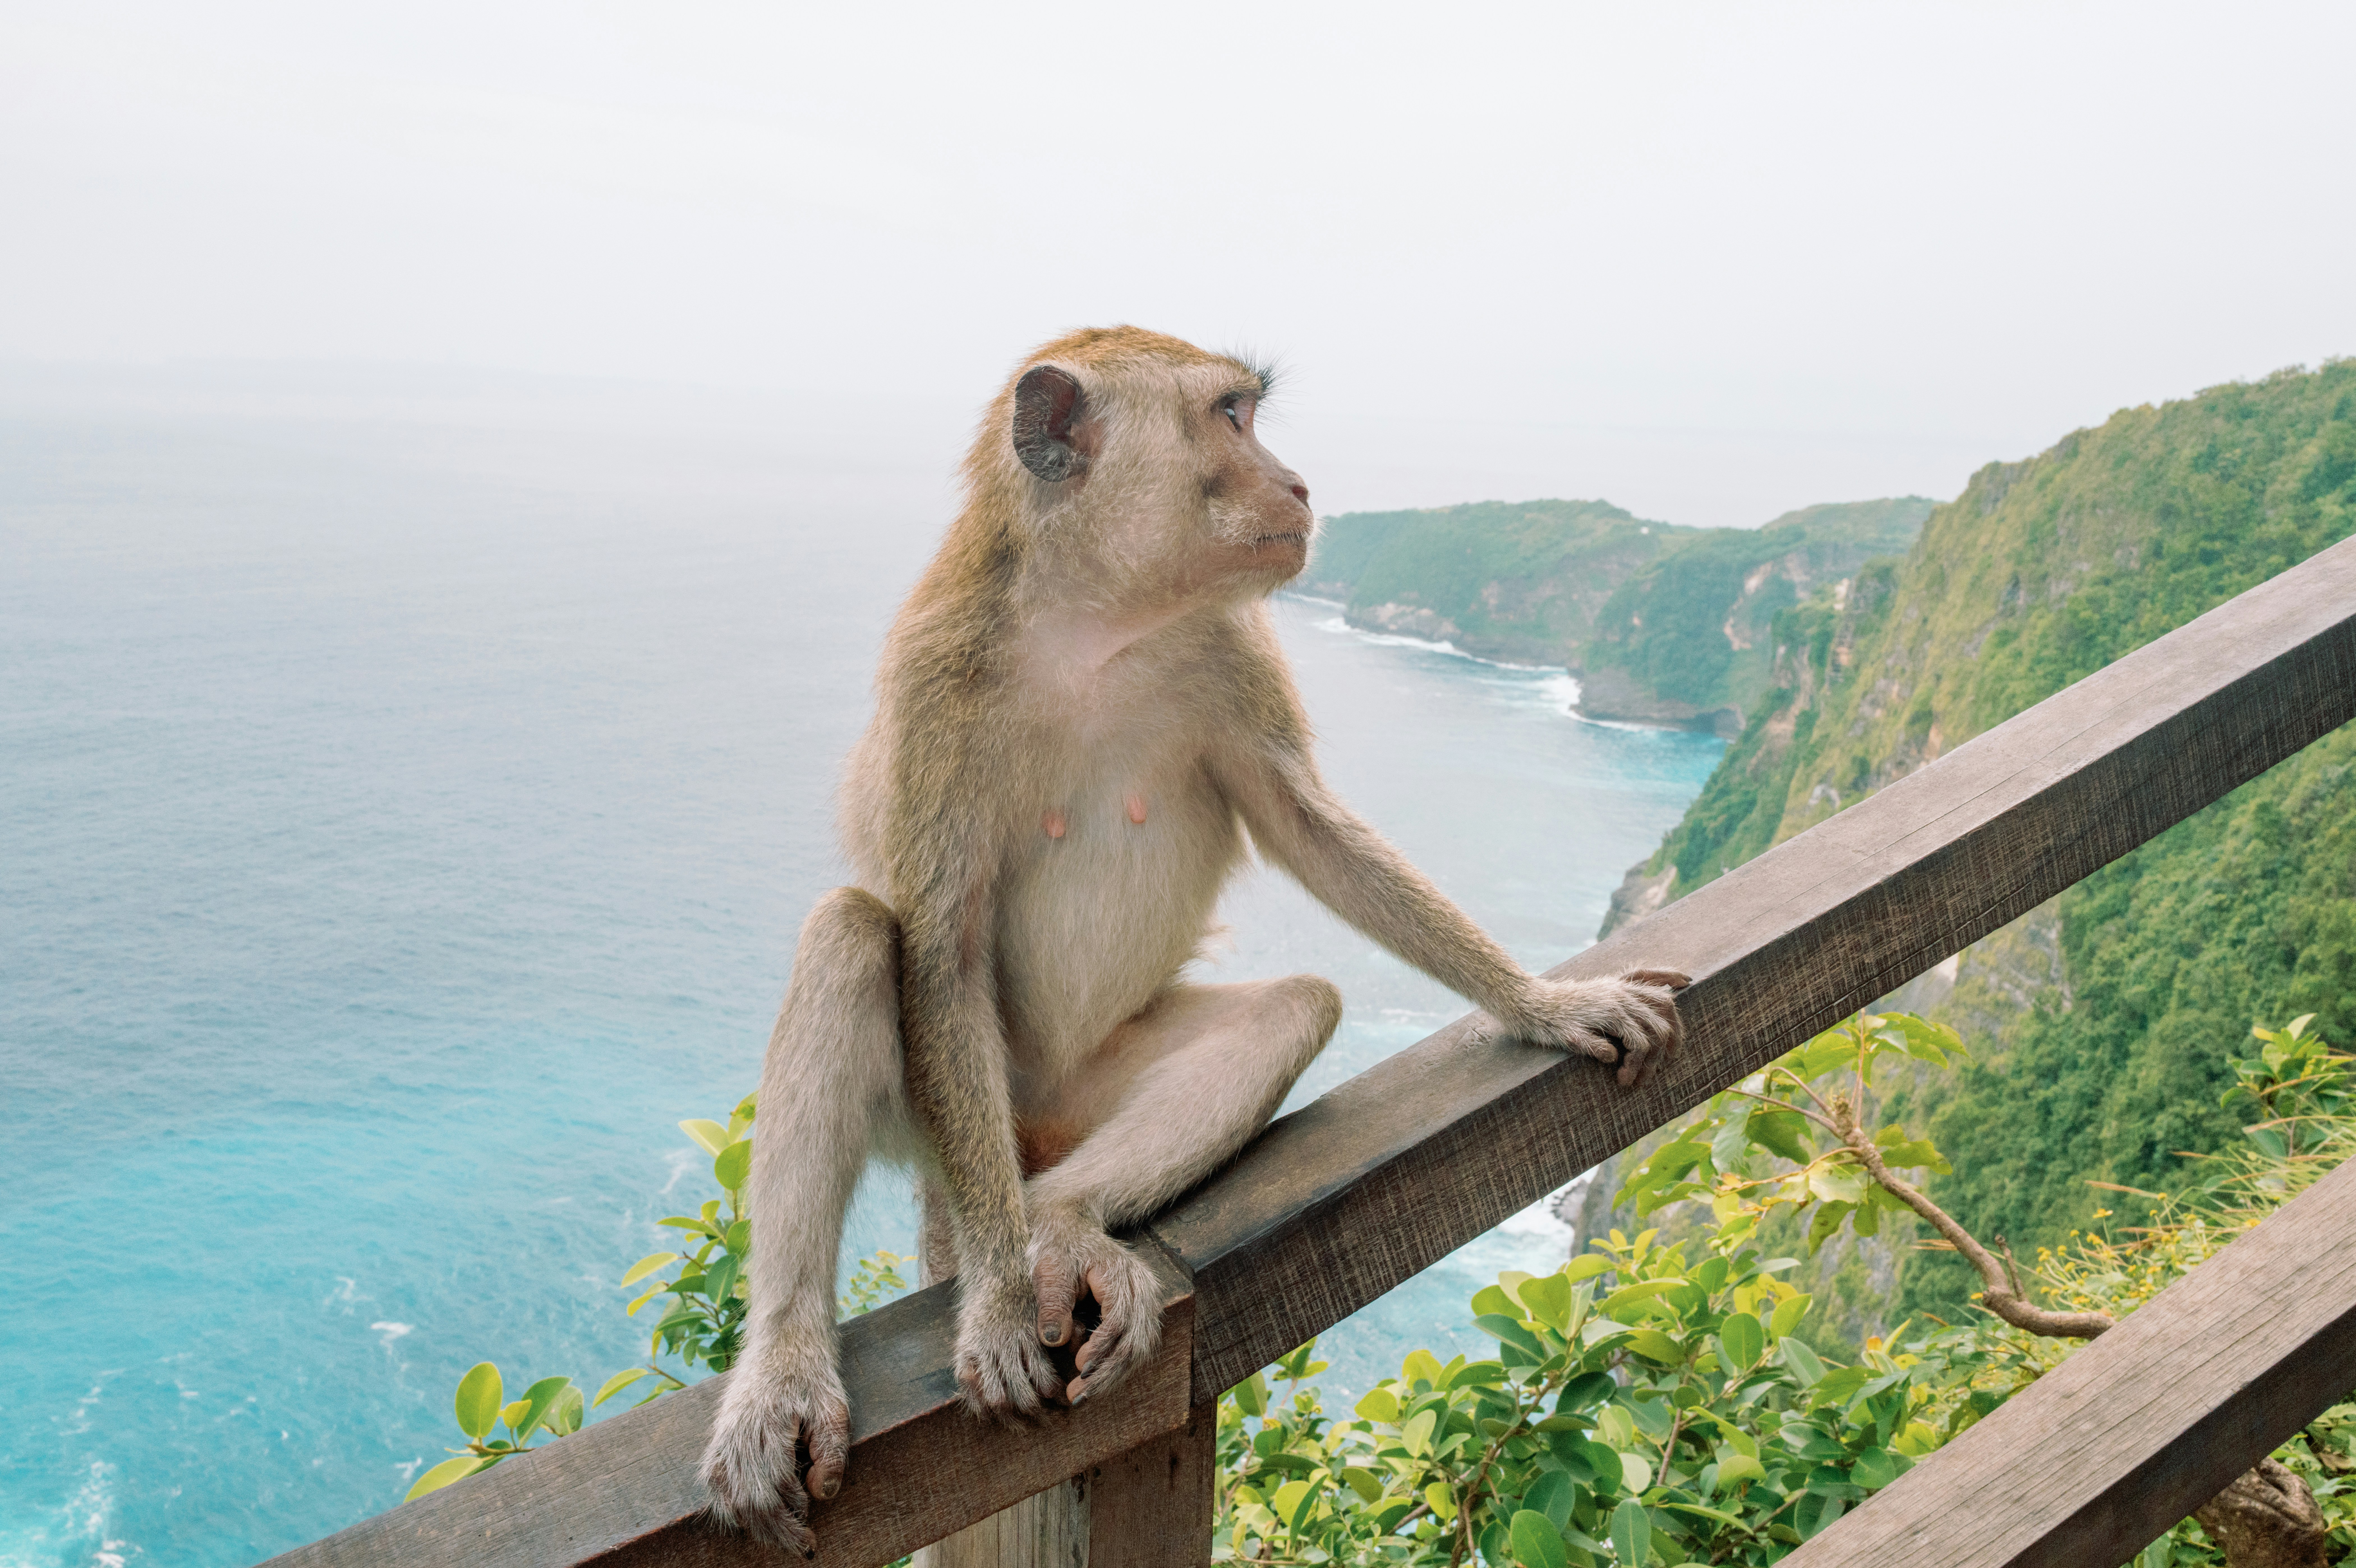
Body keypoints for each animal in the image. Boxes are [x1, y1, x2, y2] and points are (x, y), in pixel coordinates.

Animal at [700, 326, 1688, 1556]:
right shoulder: (934, 683)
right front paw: (995, 1298)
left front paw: (1549, 1005)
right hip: (952, 1121)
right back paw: (797, 1360)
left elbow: (1311, 830)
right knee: (850, 938)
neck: (1091, 624)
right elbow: (939, 951)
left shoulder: (1229, 644)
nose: (1299, 485)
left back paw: (1064, 1226)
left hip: (1092, 1092)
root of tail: (1035, 1137)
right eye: (1229, 416)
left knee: (1292, 1008)